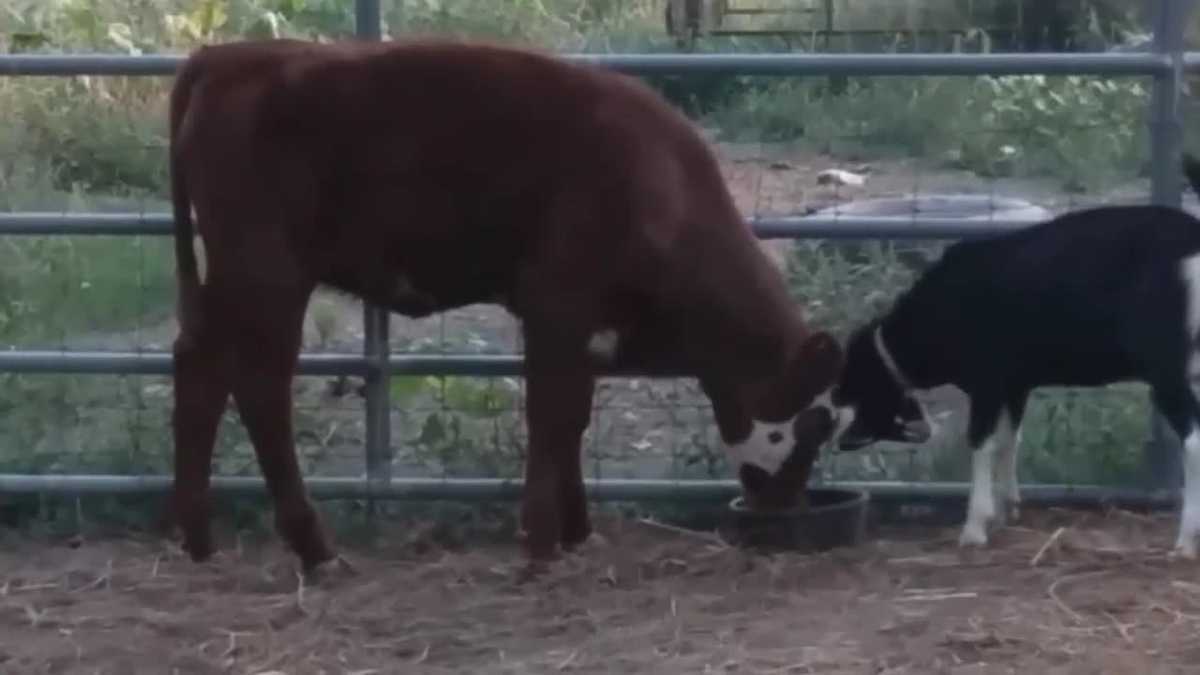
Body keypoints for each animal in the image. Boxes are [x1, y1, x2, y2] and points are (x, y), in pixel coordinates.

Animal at [167, 37, 851, 574]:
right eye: (815, 425)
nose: (783, 506)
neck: (662, 184)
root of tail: (235, 54)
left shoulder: (579, 325)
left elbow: (571, 417)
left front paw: (576, 531)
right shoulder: (557, 302)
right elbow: (550, 417)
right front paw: (542, 542)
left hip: (234, 282)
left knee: (199, 368)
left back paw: (200, 541)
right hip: (268, 274)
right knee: (261, 389)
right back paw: (314, 548)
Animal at [831, 155, 1200, 558]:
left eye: (857, 379)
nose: (841, 441)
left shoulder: (987, 381)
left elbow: (980, 443)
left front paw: (975, 527)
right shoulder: (1016, 383)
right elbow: (1010, 439)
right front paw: (1007, 508)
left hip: (1166, 366)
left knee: (1194, 442)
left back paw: (1185, 542)